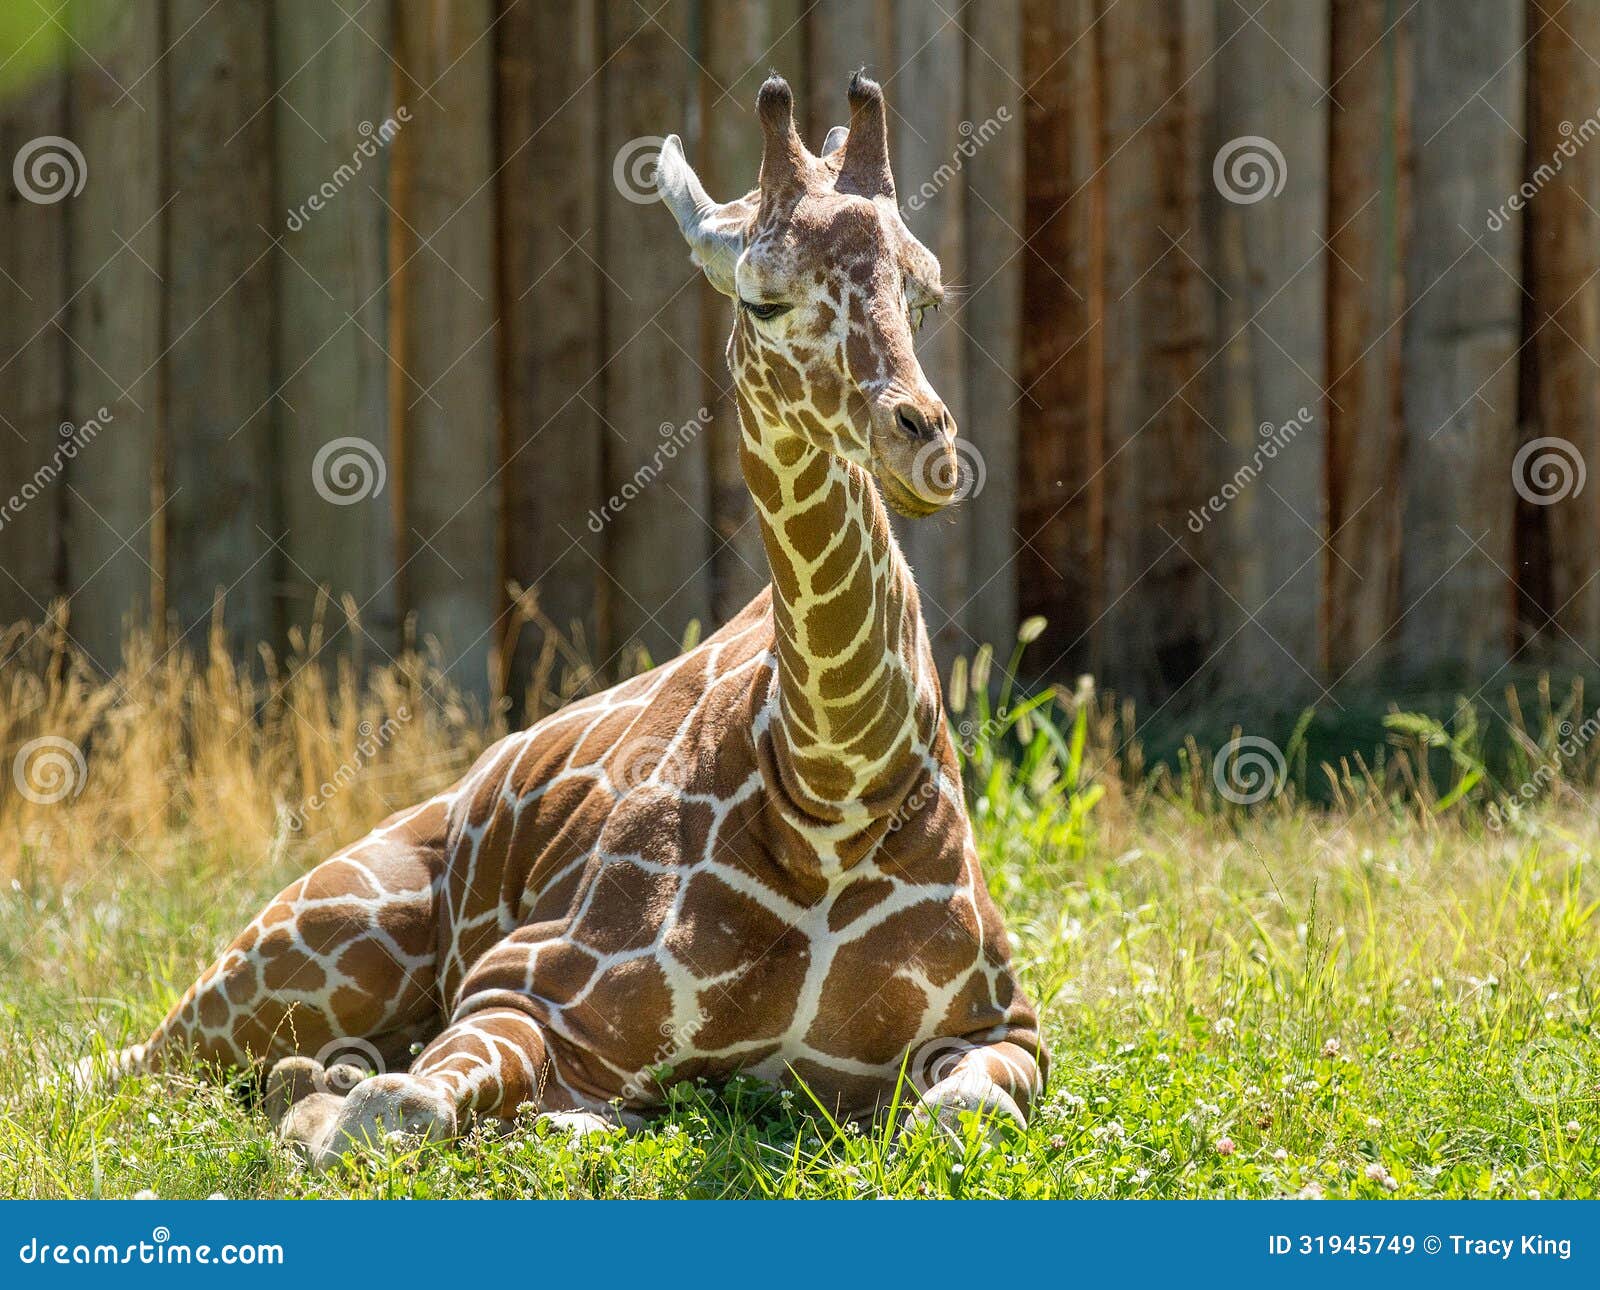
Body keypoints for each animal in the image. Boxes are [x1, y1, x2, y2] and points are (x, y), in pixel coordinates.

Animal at [105, 73, 1047, 1167]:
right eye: (763, 299)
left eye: (925, 294)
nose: (925, 446)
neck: (828, 797)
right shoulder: (520, 982)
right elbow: (396, 1110)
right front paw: (321, 1111)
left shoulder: (1002, 1026)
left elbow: (958, 1113)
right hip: (325, 945)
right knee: (122, 1067)